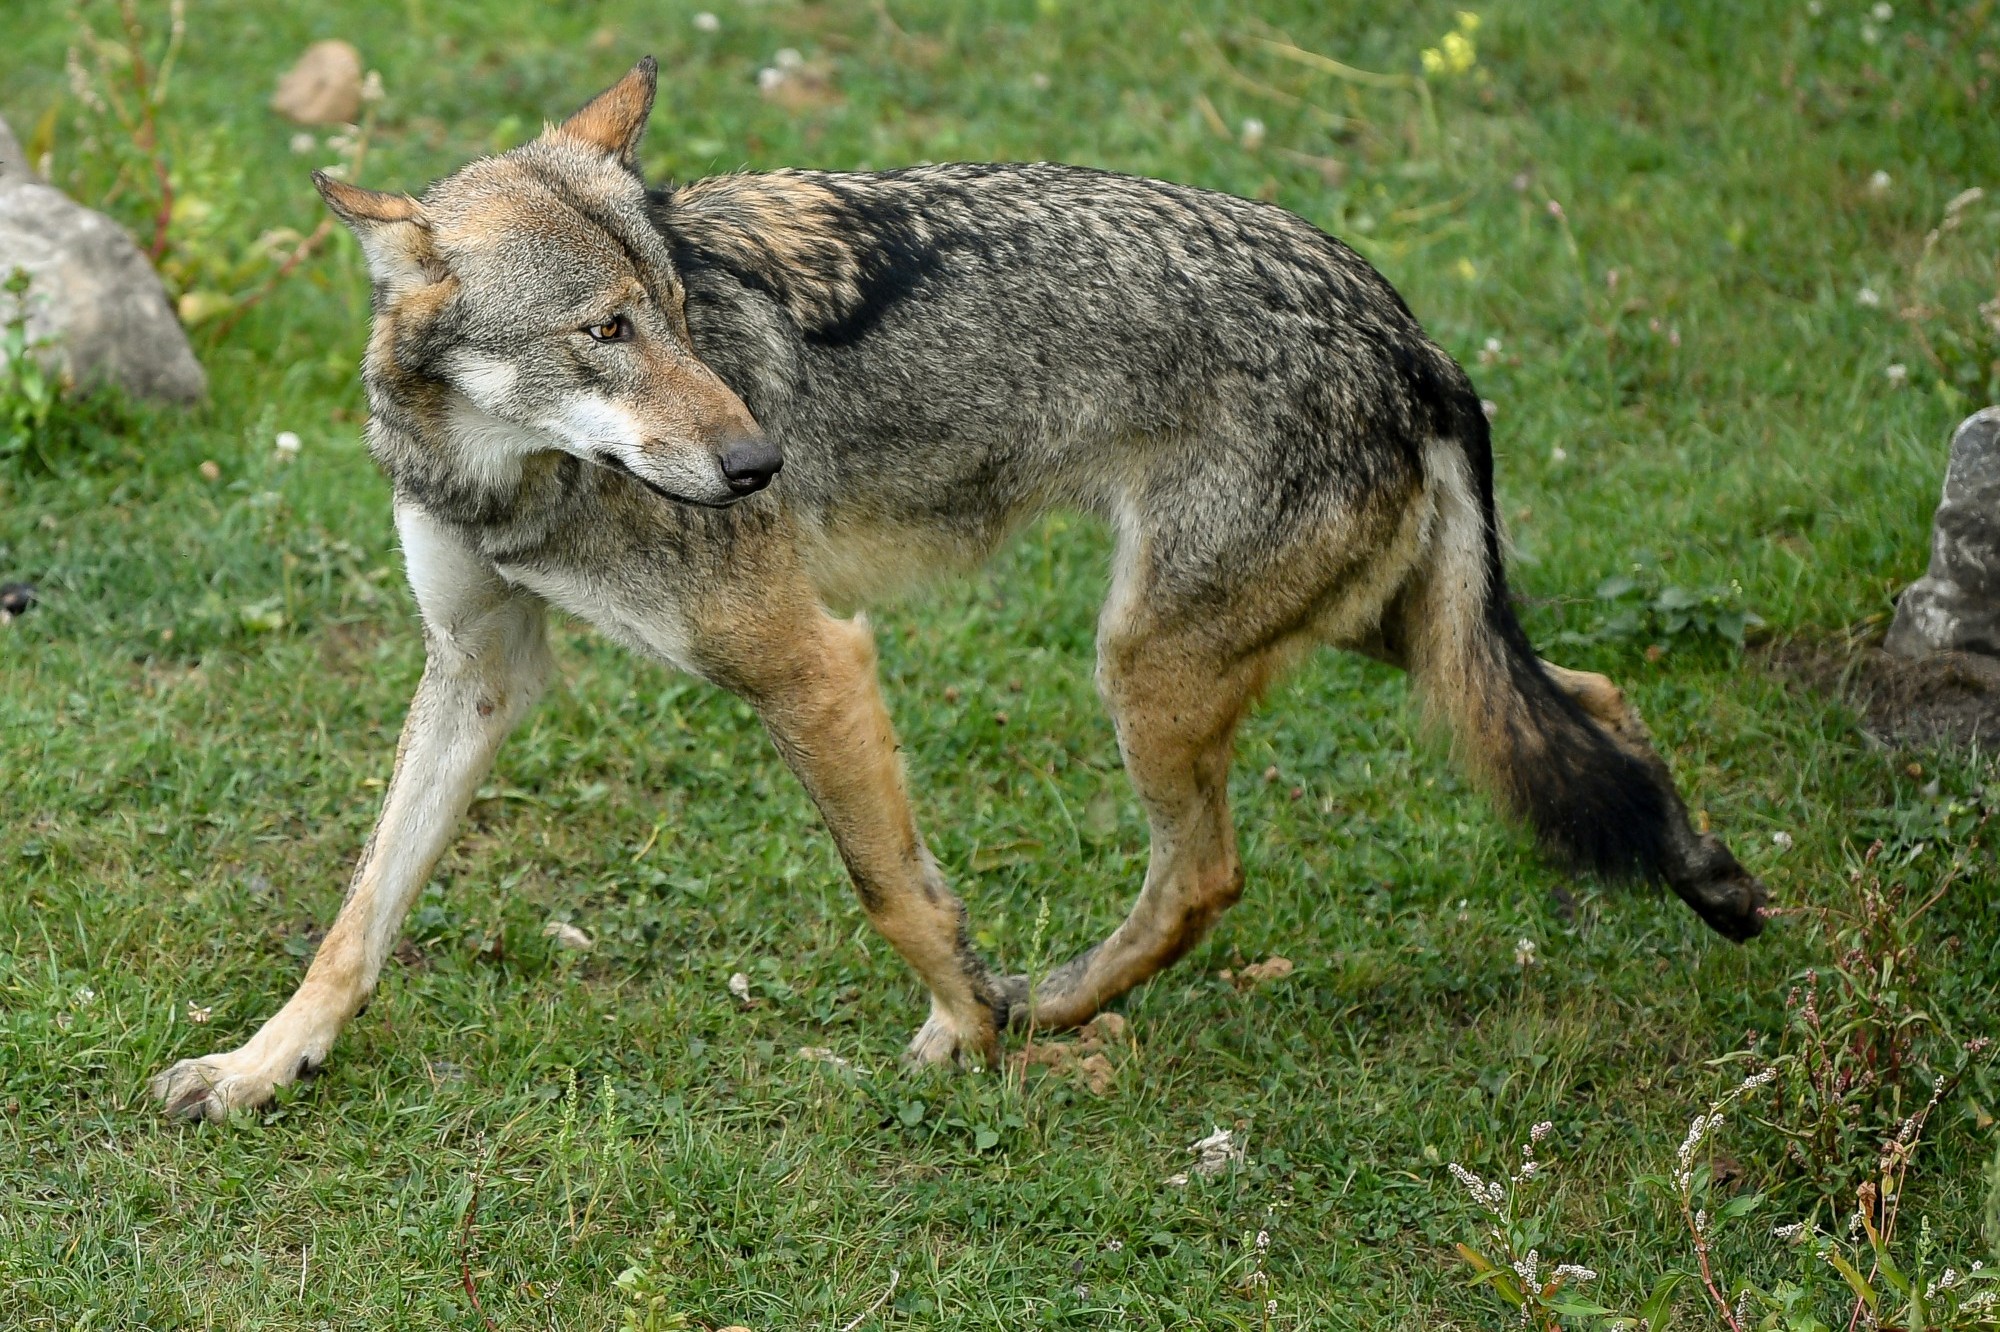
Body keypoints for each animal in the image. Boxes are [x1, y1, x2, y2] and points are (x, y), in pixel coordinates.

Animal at [152, 59, 1766, 1120]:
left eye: (678, 312)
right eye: (605, 331)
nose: (760, 460)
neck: (515, 484)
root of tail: (1412, 334)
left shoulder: (813, 661)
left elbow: (893, 889)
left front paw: (964, 1037)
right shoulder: (482, 669)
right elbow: (357, 916)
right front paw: (261, 1067)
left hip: (1151, 666)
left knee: (1213, 871)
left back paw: (1039, 1005)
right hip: (1355, 635)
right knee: (1584, 695)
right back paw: (1710, 874)